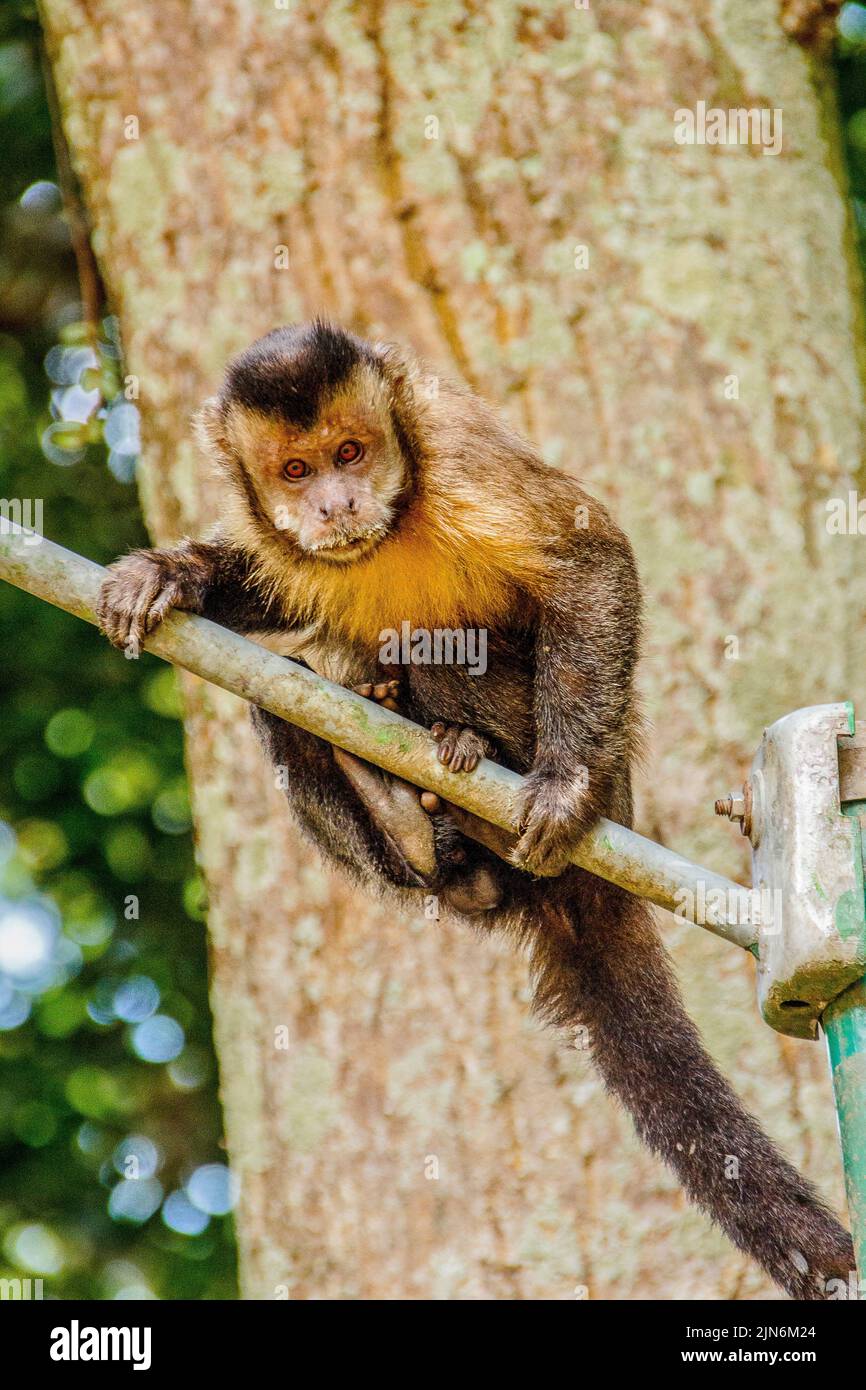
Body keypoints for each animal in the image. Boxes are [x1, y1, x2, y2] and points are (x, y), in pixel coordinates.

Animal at [97, 320, 854, 1299]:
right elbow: (271, 587)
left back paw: (472, 759)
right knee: (288, 700)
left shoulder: (459, 458)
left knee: (451, 644)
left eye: (351, 452)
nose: (335, 502)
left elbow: (587, 562)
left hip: (598, 774)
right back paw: (420, 835)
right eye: (296, 471)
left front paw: (560, 784)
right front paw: (169, 573)